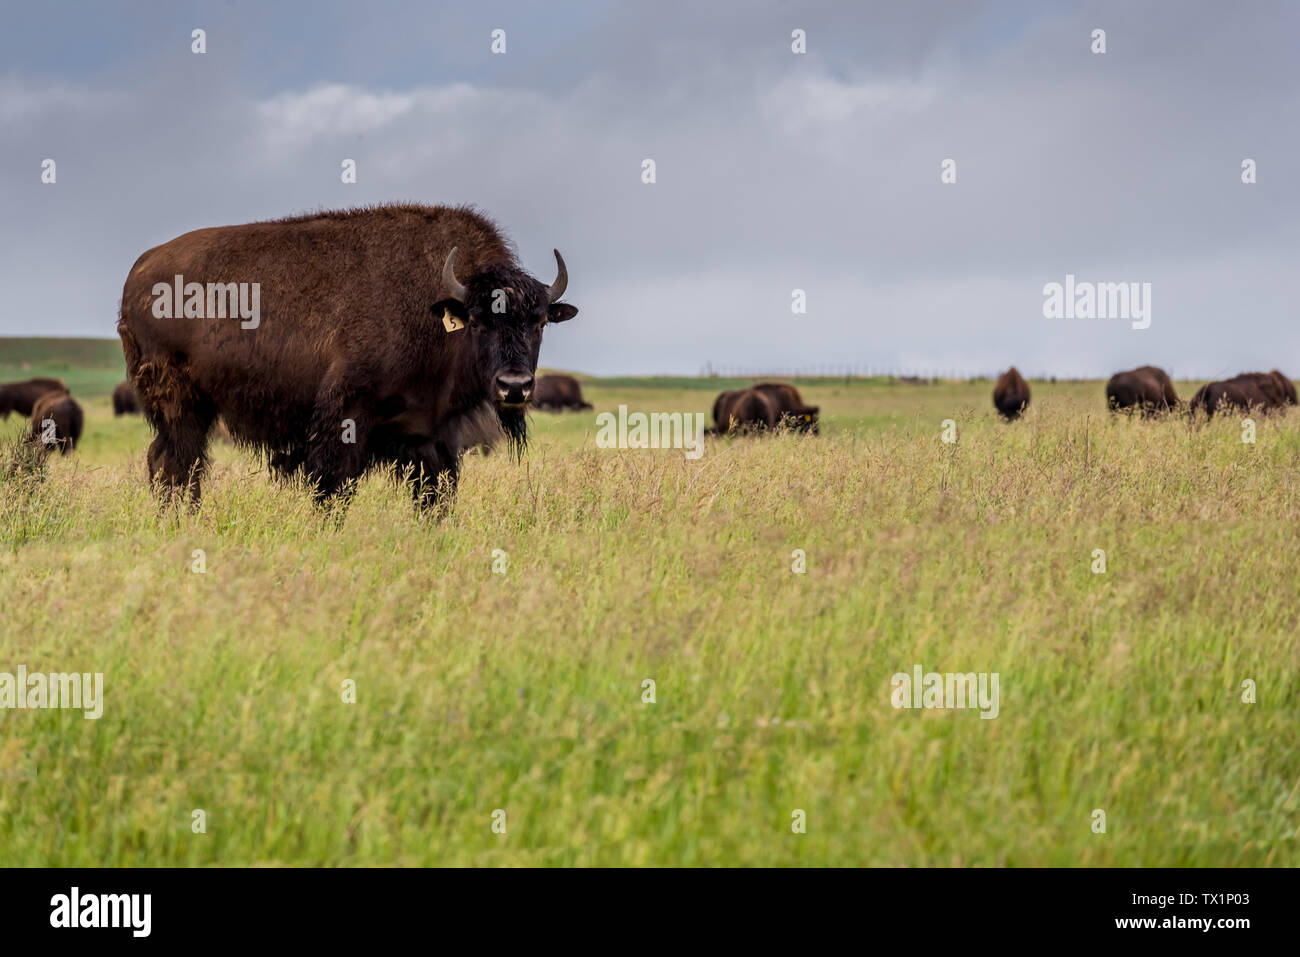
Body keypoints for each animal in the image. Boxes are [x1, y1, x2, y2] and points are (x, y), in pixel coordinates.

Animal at [117, 204, 578, 506]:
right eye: (479, 323)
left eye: (540, 323)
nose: (514, 386)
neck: (437, 311)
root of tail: (140, 269)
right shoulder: (343, 417)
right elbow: (332, 490)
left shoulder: (433, 437)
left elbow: (435, 498)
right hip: (180, 404)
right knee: (177, 465)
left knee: (172, 463)